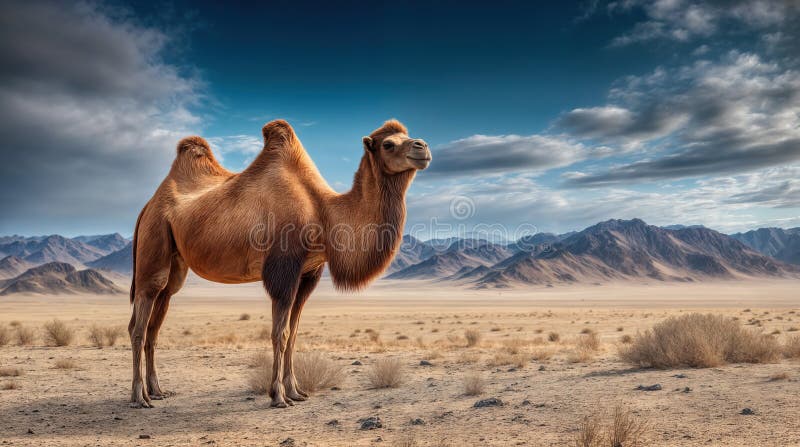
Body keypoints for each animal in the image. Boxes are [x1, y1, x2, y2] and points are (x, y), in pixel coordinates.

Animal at [128, 119, 431, 408]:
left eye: (407, 136)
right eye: (388, 144)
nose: (423, 146)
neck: (323, 213)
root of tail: (147, 206)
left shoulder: (308, 272)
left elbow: (294, 334)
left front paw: (296, 391)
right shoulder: (283, 270)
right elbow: (280, 334)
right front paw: (278, 396)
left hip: (174, 266)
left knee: (156, 322)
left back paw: (157, 391)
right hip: (154, 242)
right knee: (139, 325)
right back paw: (139, 397)